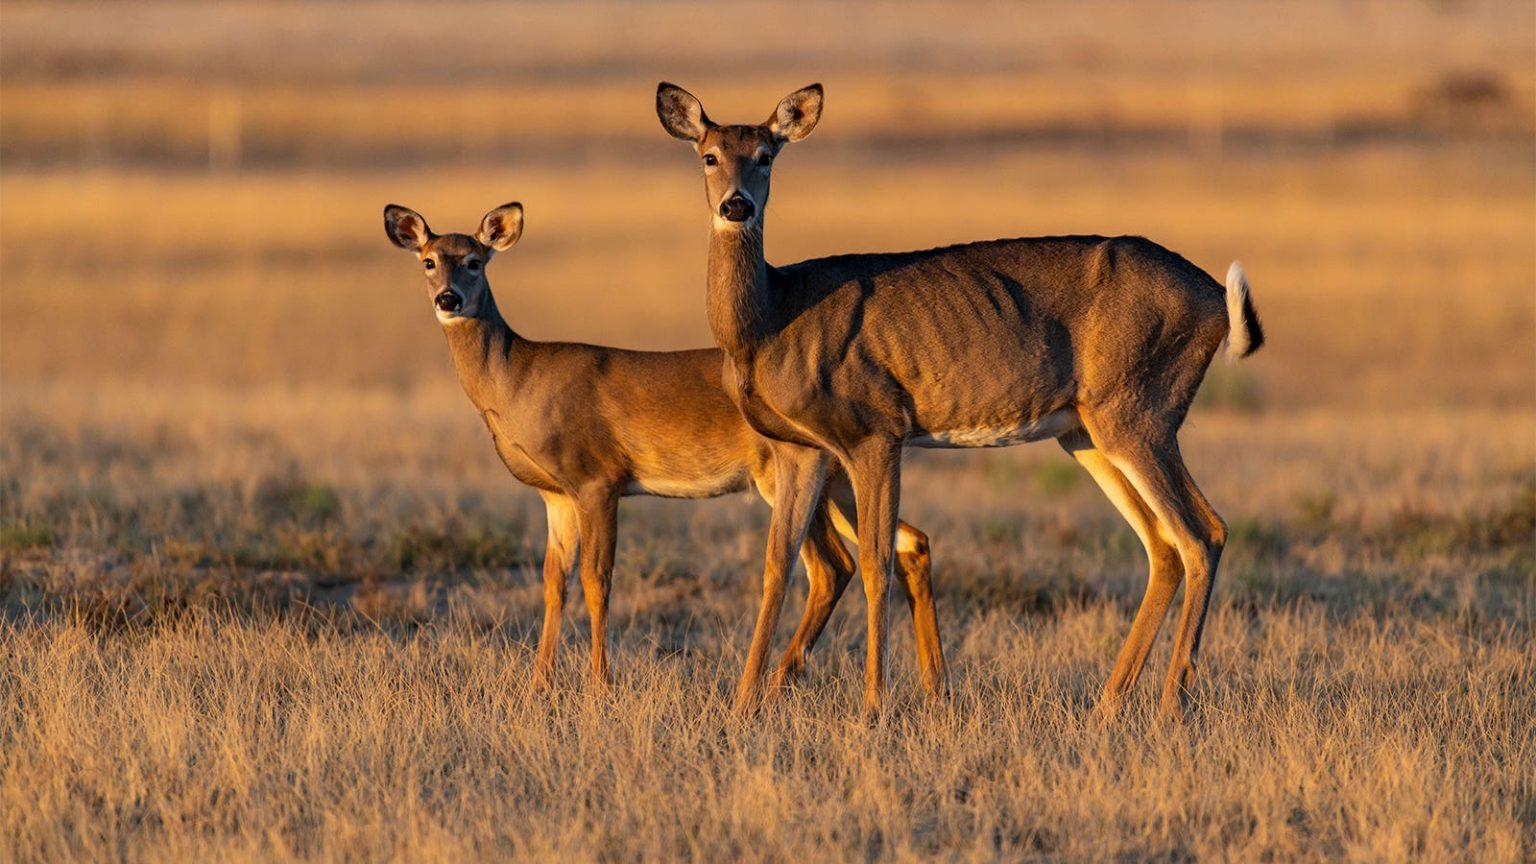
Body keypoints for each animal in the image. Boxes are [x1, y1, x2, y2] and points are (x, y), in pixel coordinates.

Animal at [382, 201, 948, 698]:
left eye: (475, 261)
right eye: (429, 260)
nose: (449, 299)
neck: (518, 380)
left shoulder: (597, 479)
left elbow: (597, 580)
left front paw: (600, 687)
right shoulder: (555, 494)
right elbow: (553, 580)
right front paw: (538, 686)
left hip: (788, 473)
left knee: (831, 564)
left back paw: (778, 684)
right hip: (836, 477)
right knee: (904, 543)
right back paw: (927, 688)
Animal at [655, 82, 1265, 720]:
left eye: (767, 155)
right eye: (709, 155)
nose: (737, 206)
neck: (774, 317)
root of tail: (1217, 302)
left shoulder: (876, 430)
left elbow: (876, 561)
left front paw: (873, 706)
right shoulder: (799, 447)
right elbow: (777, 564)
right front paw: (742, 702)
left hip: (1139, 412)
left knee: (1204, 533)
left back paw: (1171, 702)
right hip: (1087, 431)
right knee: (1164, 545)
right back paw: (1108, 701)